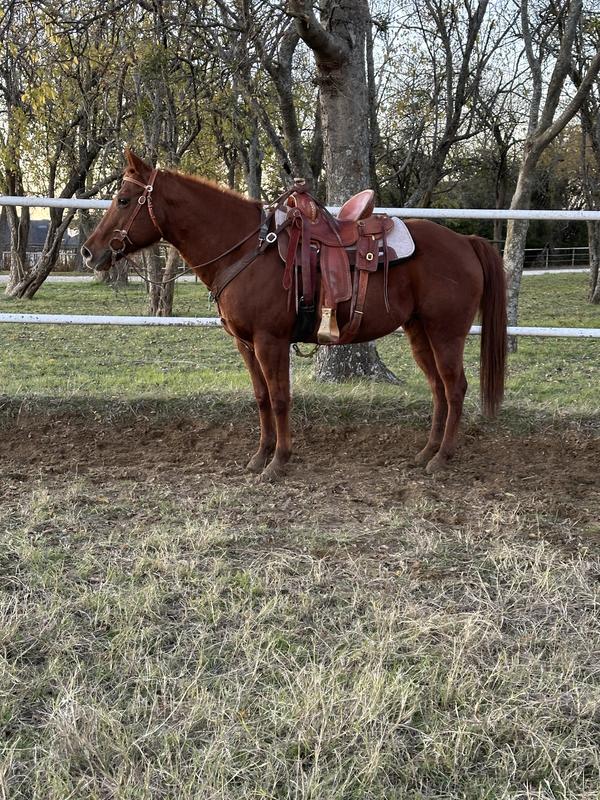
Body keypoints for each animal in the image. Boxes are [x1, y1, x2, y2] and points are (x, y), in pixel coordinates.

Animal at [82, 150, 507, 481]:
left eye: (123, 200)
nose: (89, 251)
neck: (246, 250)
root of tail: (466, 241)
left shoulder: (270, 341)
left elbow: (280, 396)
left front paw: (279, 461)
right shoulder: (245, 343)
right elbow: (261, 397)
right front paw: (260, 456)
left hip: (446, 333)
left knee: (455, 387)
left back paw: (442, 457)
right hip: (419, 332)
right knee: (437, 388)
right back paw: (426, 452)